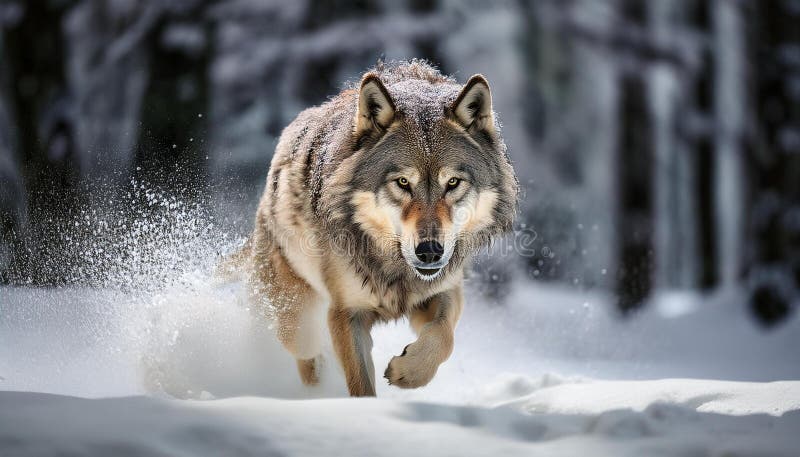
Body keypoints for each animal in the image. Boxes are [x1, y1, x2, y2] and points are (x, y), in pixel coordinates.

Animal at [230, 60, 518, 396]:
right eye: (403, 182)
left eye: (452, 183)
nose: (430, 252)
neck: (393, 269)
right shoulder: (346, 312)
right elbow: (361, 384)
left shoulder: (444, 291)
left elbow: (443, 337)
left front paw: (409, 371)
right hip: (298, 321)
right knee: (306, 351)